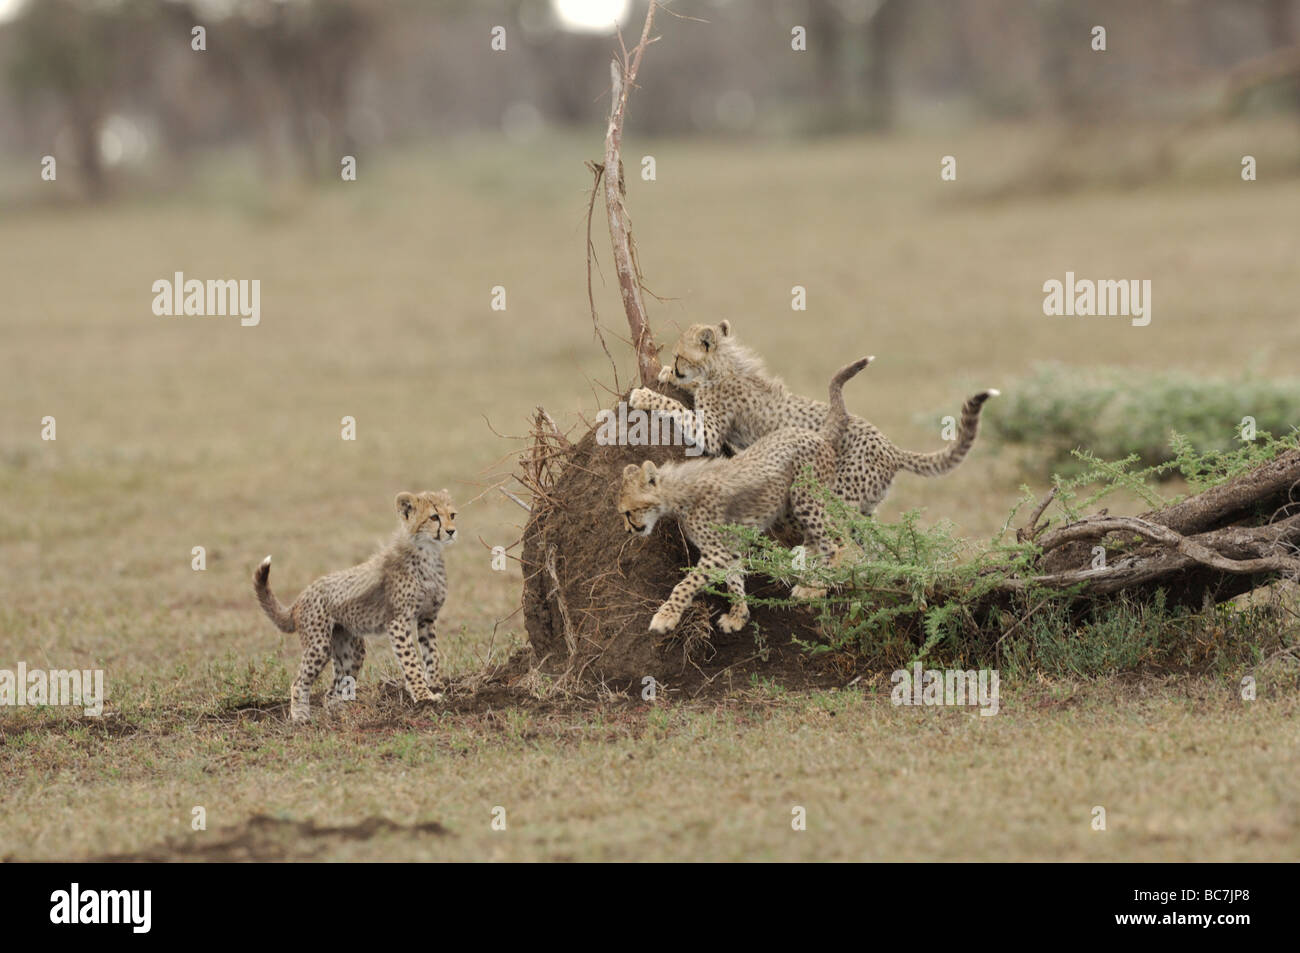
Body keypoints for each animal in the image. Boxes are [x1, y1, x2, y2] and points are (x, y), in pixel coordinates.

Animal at [253, 489, 457, 722]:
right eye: (434, 517)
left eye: (452, 515)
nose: (451, 531)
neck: (428, 553)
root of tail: (301, 596)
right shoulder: (398, 621)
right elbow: (411, 662)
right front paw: (424, 697)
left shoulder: (427, 618)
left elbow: (432, 654)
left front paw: (436, 686)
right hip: (319, 646)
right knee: (298, 683)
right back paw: (301, 717)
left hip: (352, 651)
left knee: (332, 692)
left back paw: (341, 713)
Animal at [618, 356, 871, 636]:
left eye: (628, 512)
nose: (629, 530)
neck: (677, 493)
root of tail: (816, 434)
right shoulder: (730, 546)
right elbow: (734, 579)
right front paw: (738, 614)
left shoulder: (716, 551)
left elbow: (686, 584)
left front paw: (665, 616)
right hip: (790, 508)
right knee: (819, 540)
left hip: (806, 499)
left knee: (837, 542)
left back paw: (814, 587)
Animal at [629, 320, 998, 517]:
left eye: (680, 353)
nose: (676, 364)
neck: (723, 366)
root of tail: (891, 447)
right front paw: (668, 375)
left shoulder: (710, 432)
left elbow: (677, 408)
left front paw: (645, 394)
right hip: (866, 503)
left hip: (839, 493)